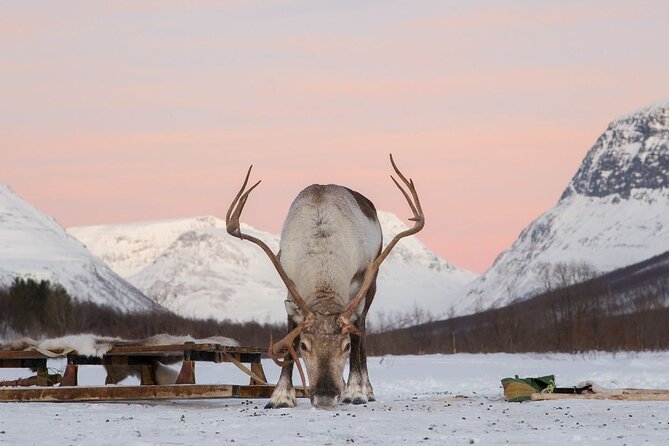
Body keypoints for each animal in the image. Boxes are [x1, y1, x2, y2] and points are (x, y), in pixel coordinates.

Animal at [226, 154, 424, 409]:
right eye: (304, 345)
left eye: (345, 345)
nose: (325, 396)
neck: (322, 248)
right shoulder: (291, 282)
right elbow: (290, 331)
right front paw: (281, 396)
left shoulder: (360, 280)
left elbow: (357, 334)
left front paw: (355, 392)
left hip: (373, 279)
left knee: (363, 328)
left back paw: (365, 389)